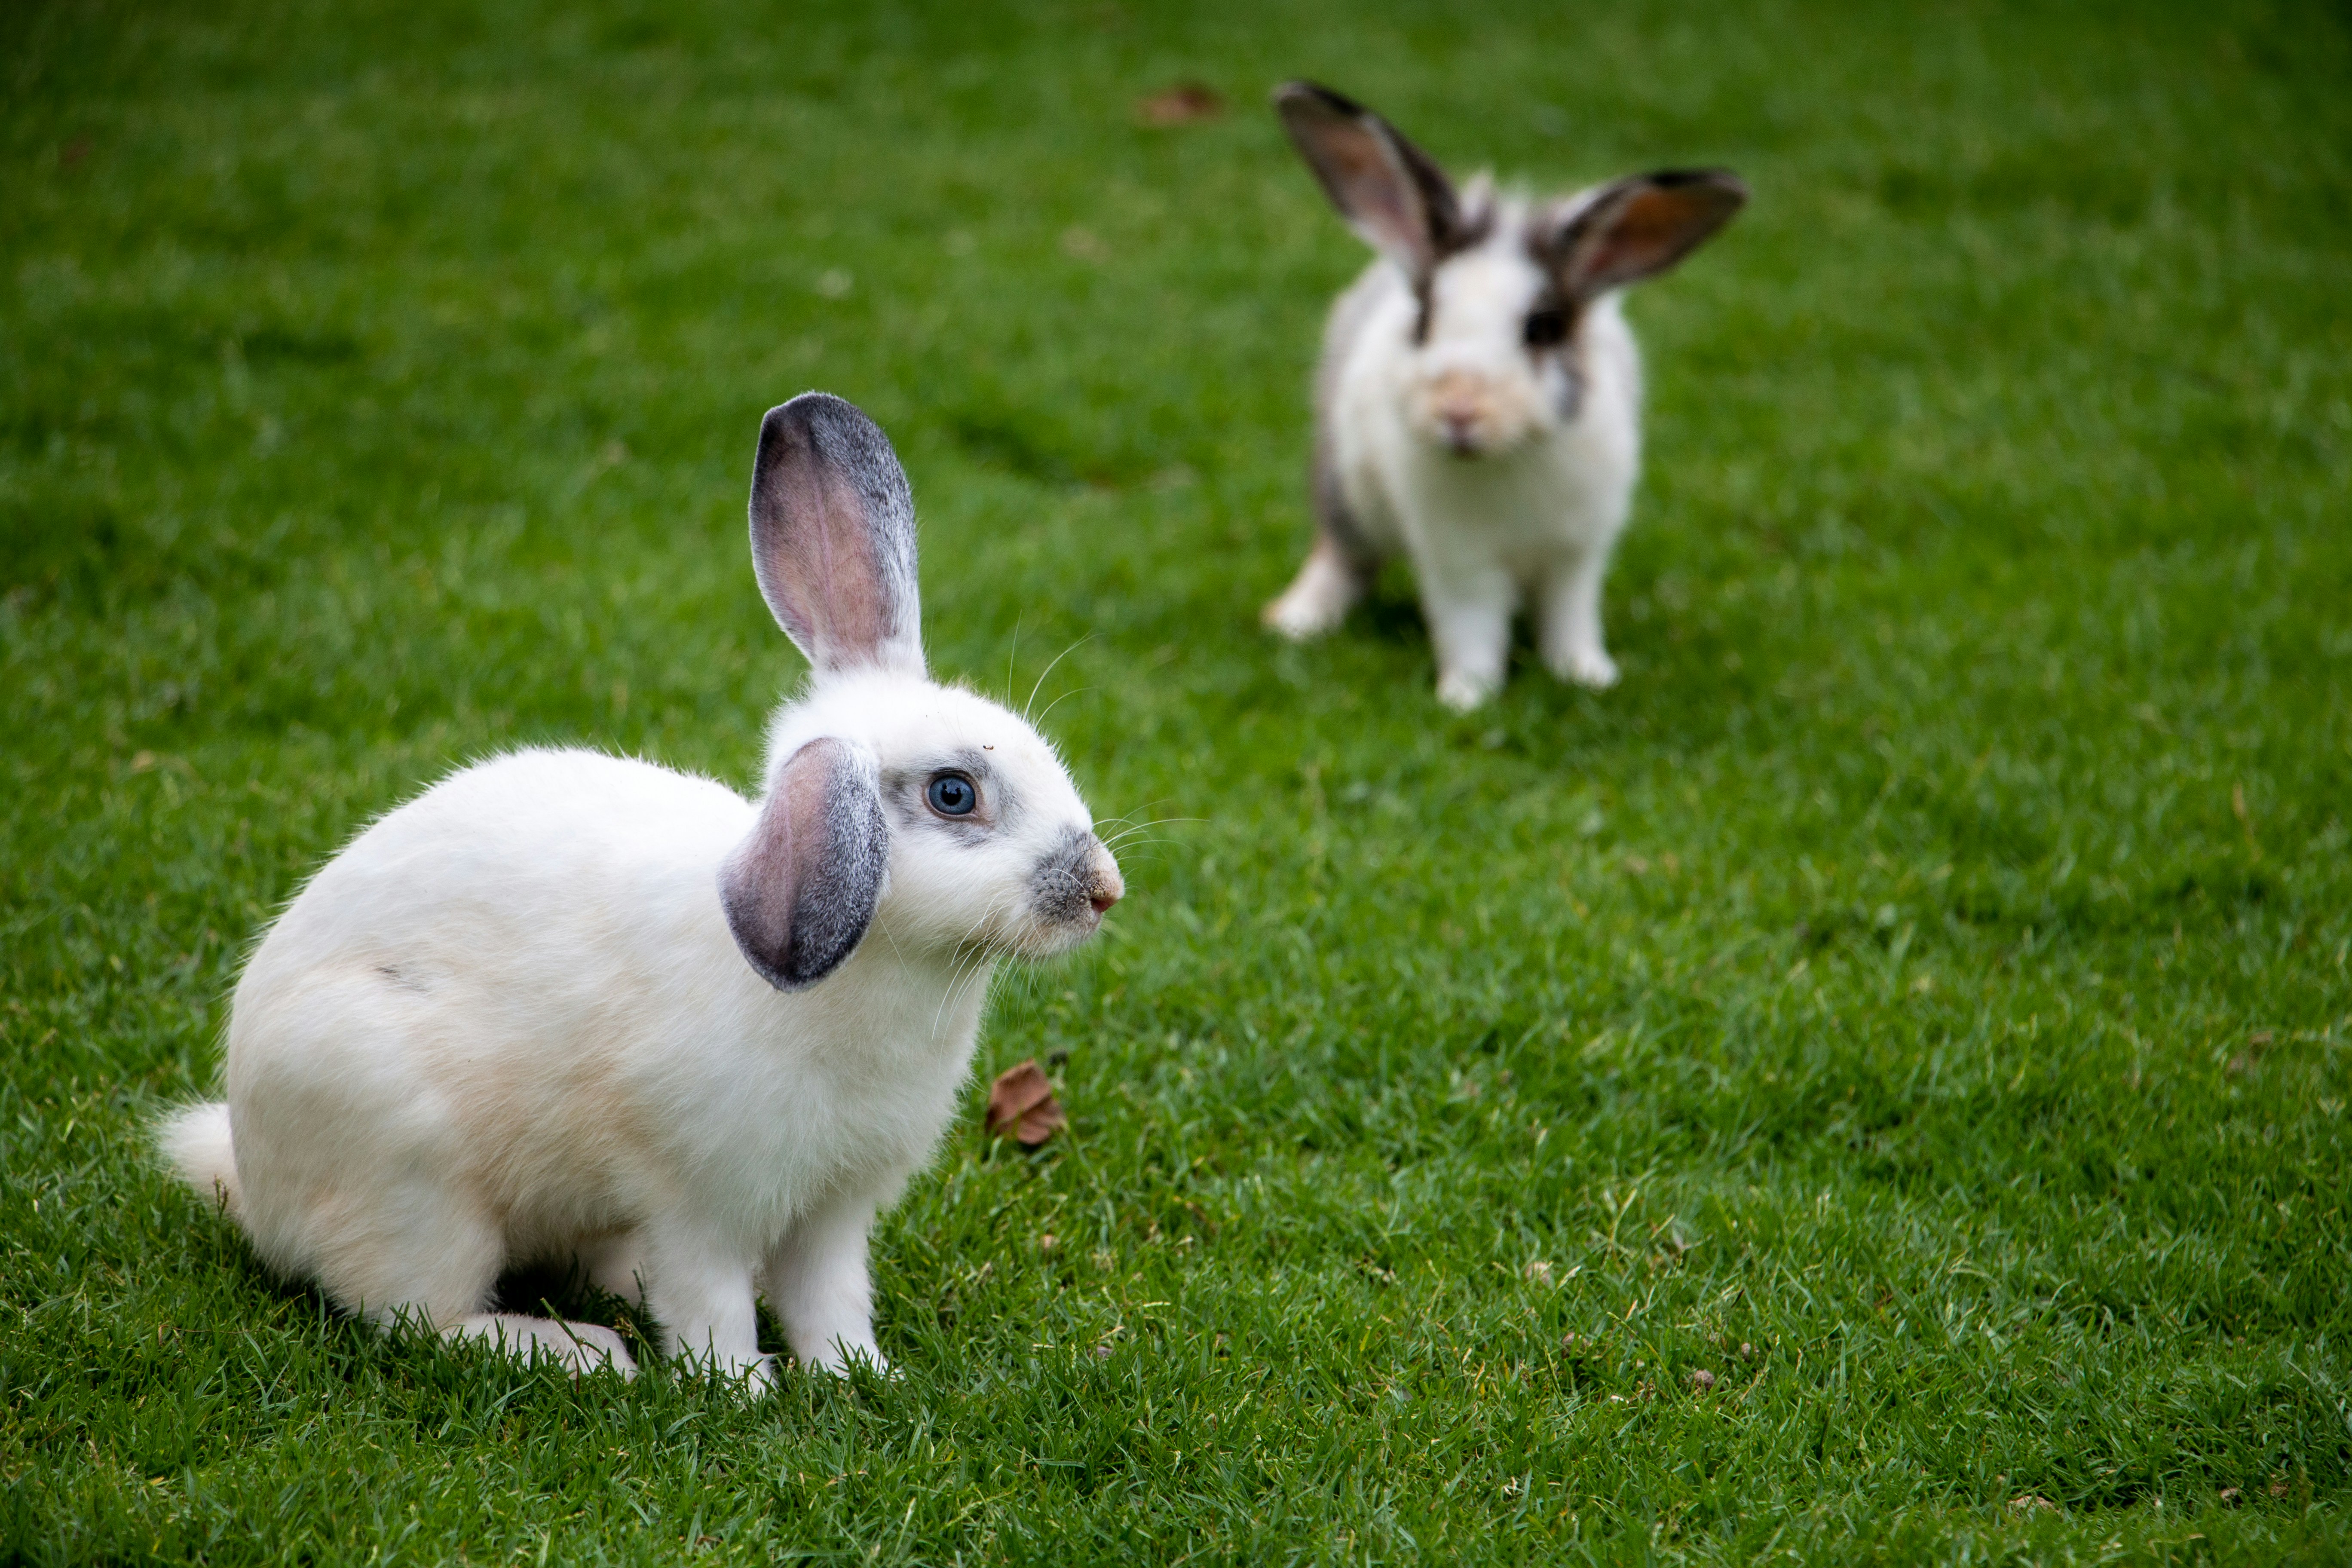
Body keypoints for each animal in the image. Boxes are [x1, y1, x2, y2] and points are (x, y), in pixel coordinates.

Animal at [159, 392, 1124, 1388]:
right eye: (953, 794)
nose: (1104, 891)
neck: (879, 972)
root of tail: (251, 1175)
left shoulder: (832, 1211)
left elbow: (829, 1302)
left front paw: (859, 1377)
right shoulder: (701, 1199)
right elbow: (711, 1298)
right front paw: (741, 1388)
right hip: (411, 1174)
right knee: (414, 1311)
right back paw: (581, 1352)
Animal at [1260, 82, 1747, 710]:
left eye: (1541, 329)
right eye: (1425, 321)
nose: (1460, 408)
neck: (1509, 460)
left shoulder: (1577, 556)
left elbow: (1571, 620)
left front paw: (1588, 675)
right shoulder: (1458, 562)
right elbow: (1470, 628)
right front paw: (1466, 697)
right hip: (1344, 488)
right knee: (1343, 556)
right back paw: (1298, 621)